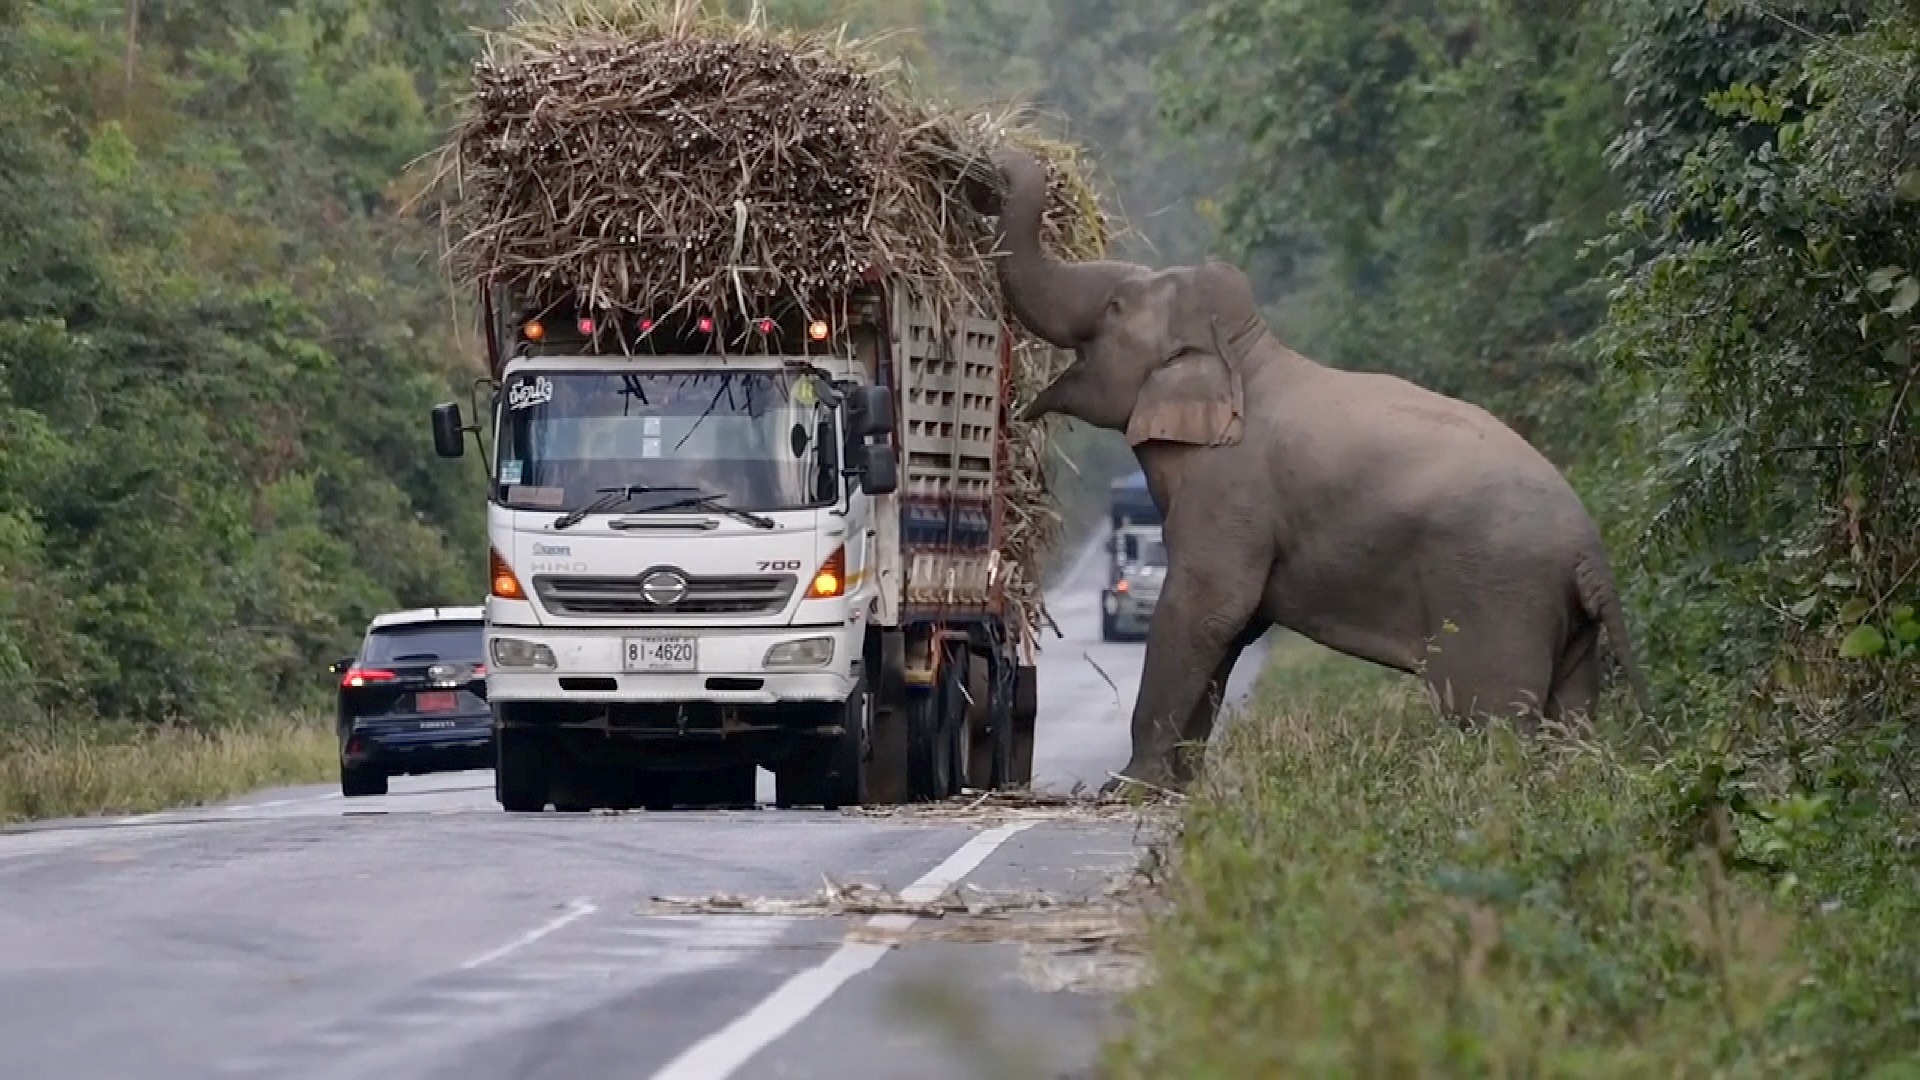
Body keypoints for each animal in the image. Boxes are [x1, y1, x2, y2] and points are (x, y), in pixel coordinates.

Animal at [982, 147, 1652, 794]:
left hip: (1498, 601)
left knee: (1493, 720)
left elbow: (1206, 607)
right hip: (1564, 622)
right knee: (1571, 717)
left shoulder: (1230, 491)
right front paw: (1180, 789)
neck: (1244, 353)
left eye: (1117, 307)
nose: (995, 162)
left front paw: (1128, 790)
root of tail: (1590, 550)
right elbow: (1232, 627)